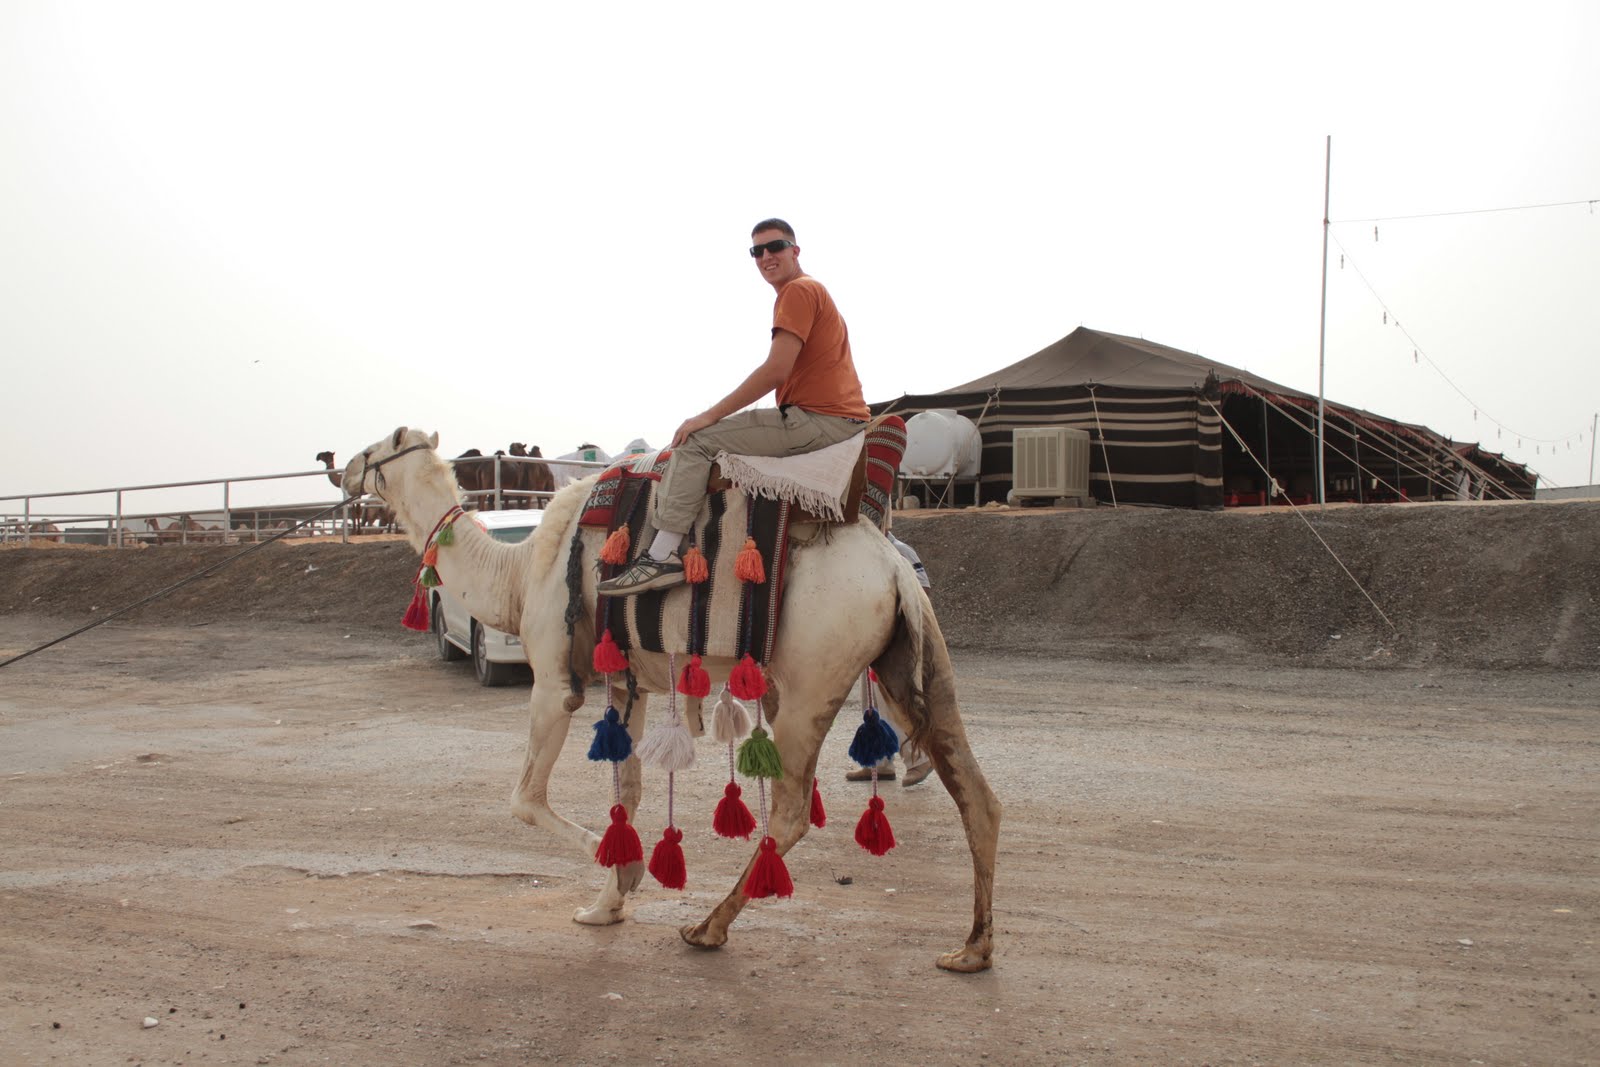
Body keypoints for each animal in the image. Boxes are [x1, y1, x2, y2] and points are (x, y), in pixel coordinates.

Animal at [344, 427, 1000, 971]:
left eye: (376, 449)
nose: (344, 470)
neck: (521, 570)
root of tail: (893, 567)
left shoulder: (555, 678)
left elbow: (525, 798)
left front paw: (619, 870)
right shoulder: (625, 684)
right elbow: (628, 794)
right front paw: (606, 903)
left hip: (813, 675)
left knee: (792, 810)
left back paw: (707, 928)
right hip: (912, 656)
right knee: (975, 790)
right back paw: (972, 948)